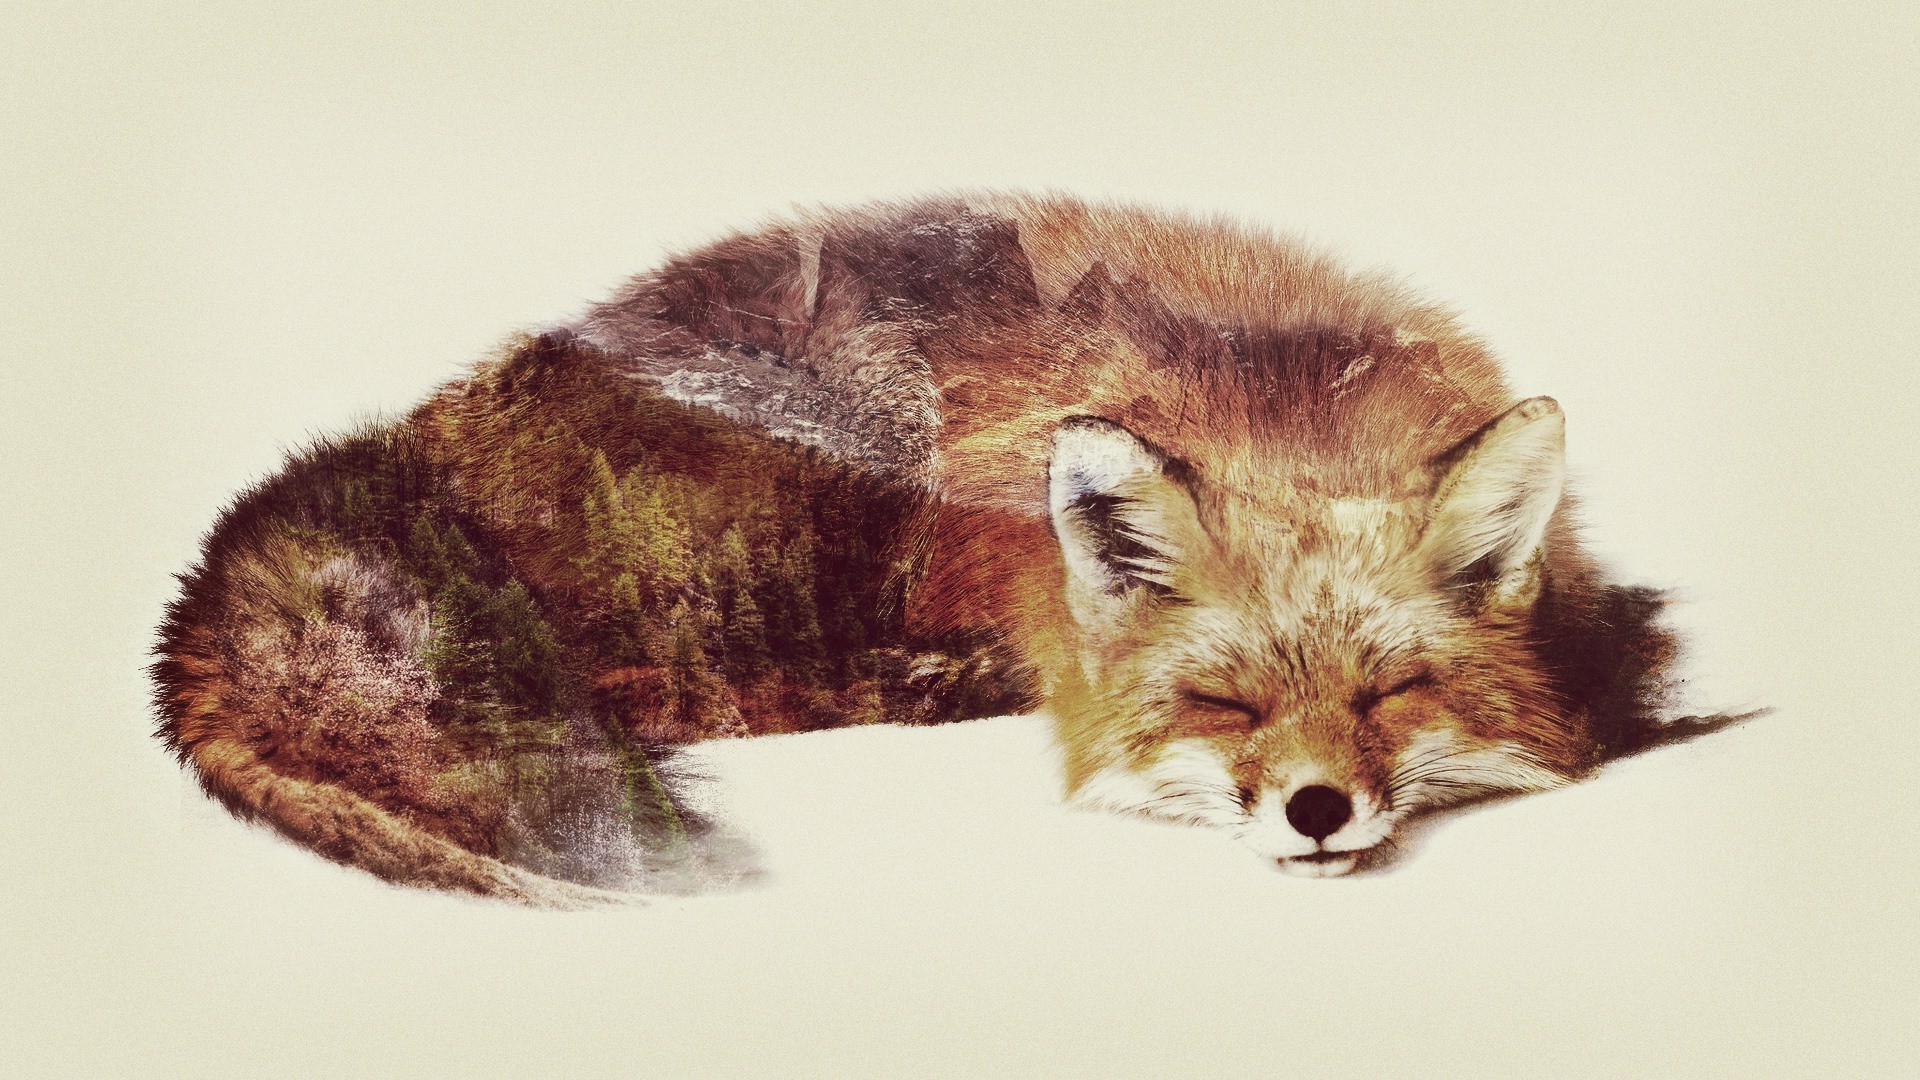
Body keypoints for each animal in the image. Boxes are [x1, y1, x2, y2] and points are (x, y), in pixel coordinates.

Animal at [152, 192, 1695, 905]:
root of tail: (404, 439)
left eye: (1393, 693)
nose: (1317, 810)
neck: (1280, 411)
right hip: (843, 463)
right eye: (1221, 703)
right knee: (678, 686)